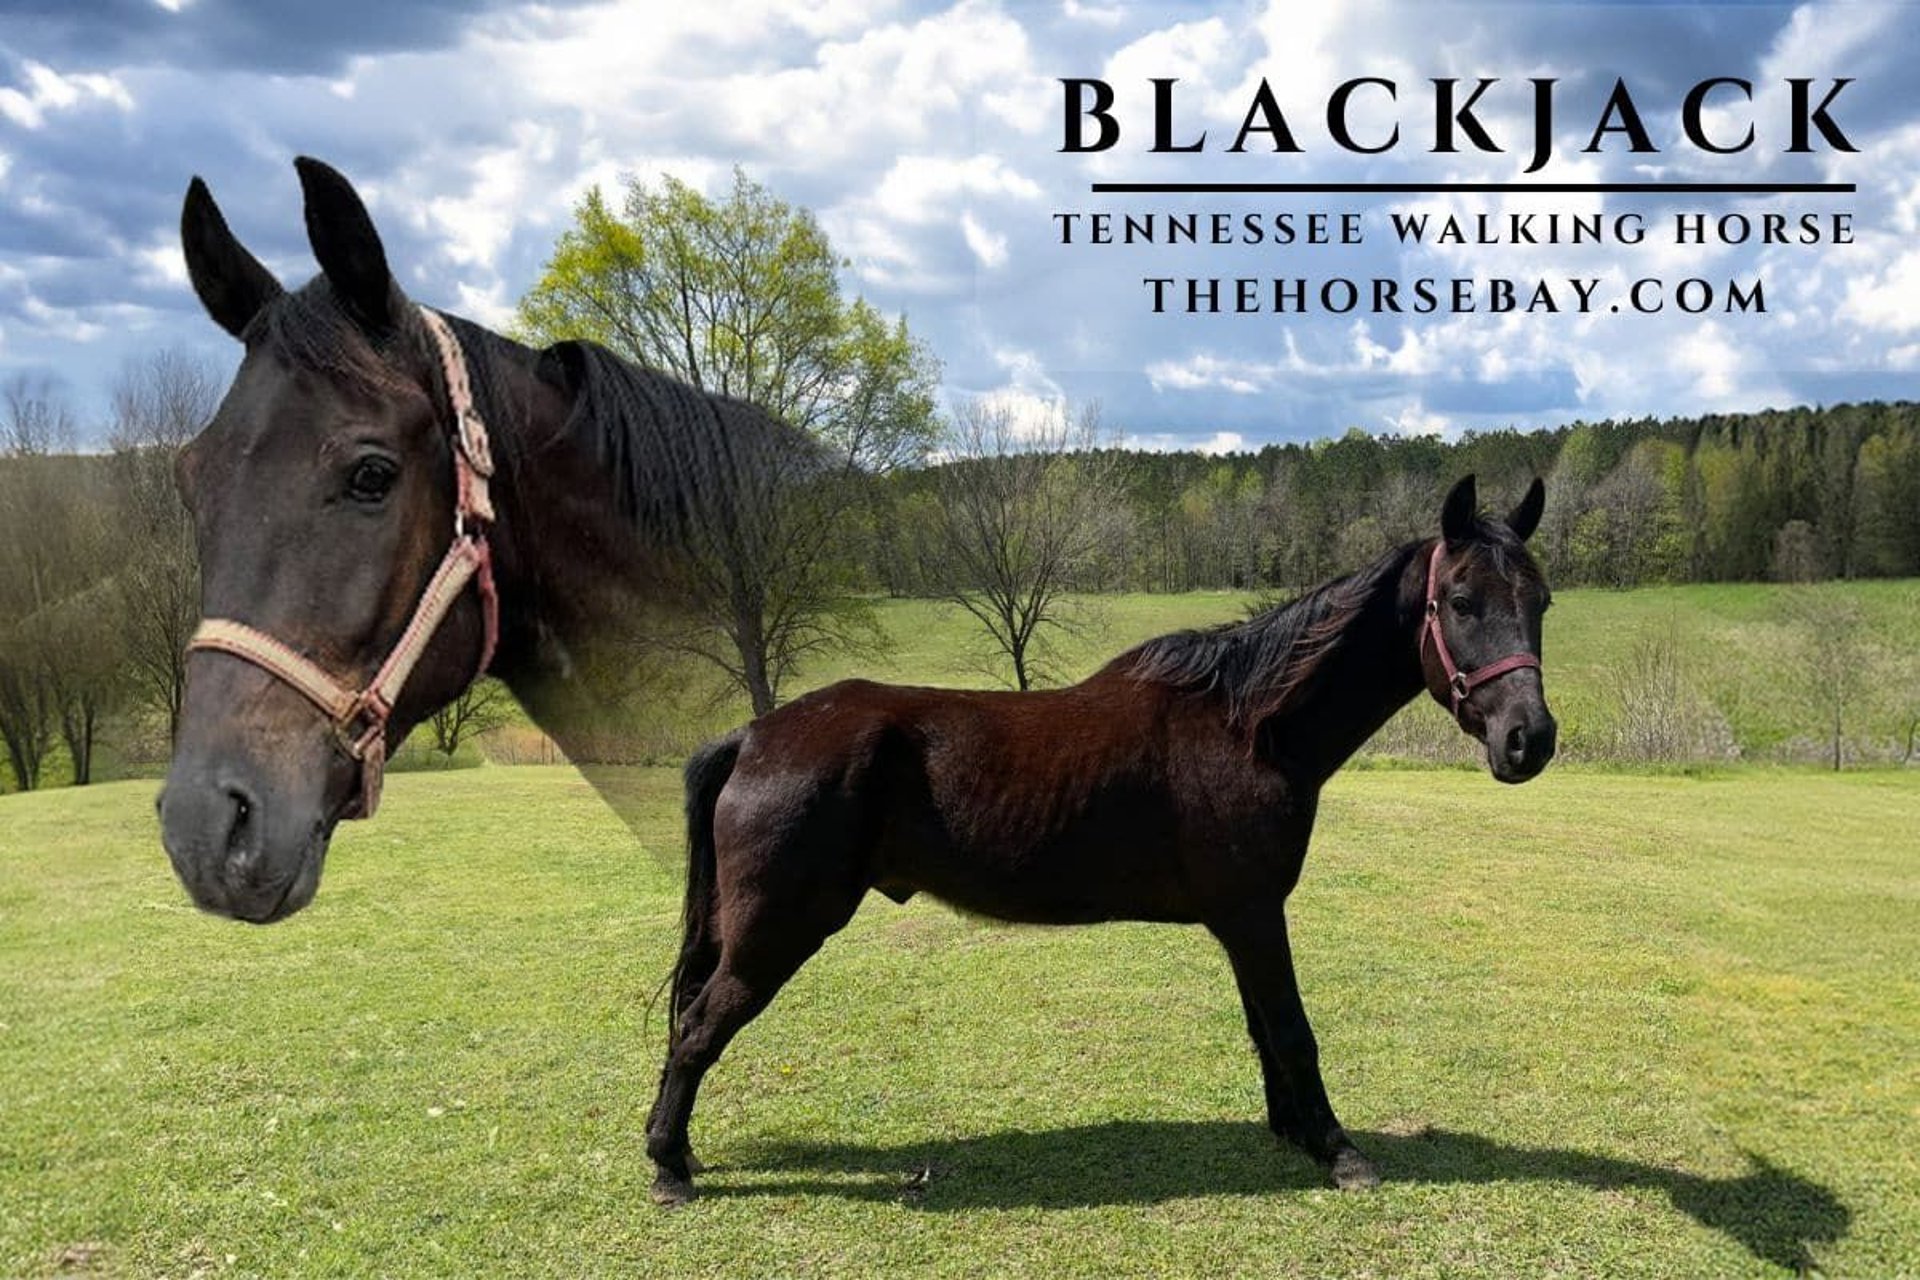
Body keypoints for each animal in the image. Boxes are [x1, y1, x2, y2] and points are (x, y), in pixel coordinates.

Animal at [643, 475, 1556, 1203]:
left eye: (1541, 602)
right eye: (1461, 602)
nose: (1530, 739)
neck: (1248, 726)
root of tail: (754, 736)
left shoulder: (1242, 920)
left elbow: (1265, 1028)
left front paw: (1293, 1133)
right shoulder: (1257, 914)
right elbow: (1293, 1030)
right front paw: (1337, 1151)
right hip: (776, 931)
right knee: (698, 1029)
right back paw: (667, 1166)